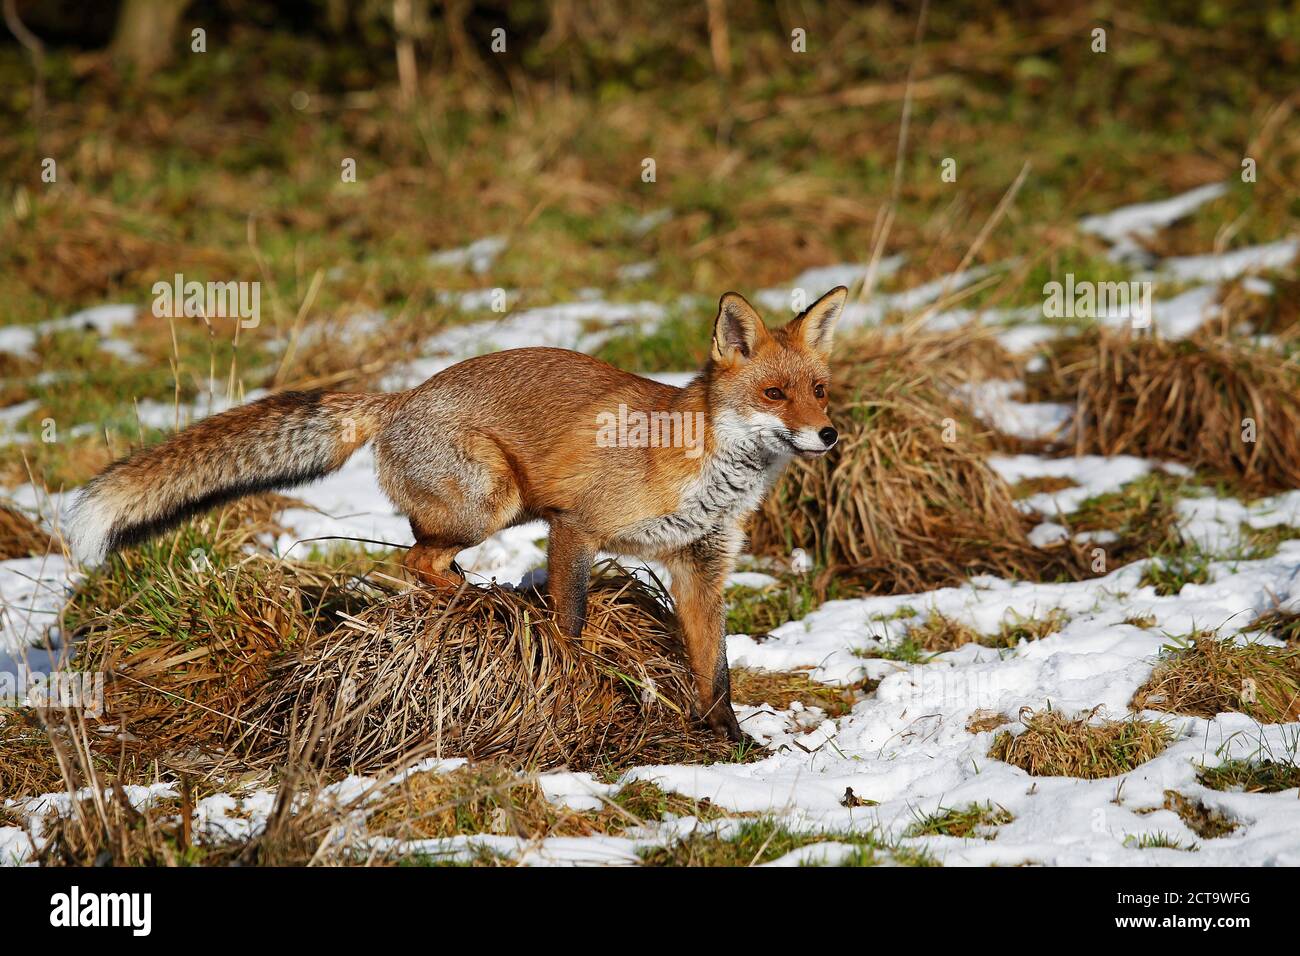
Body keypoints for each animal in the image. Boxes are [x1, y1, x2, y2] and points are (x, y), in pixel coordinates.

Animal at [68, 286, 847, 740]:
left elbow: (716, 672)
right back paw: (478, 600)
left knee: (418, 554)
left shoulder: (700, 566)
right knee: (415, 560)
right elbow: (571, 623)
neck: (706, 471)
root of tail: (400, 397)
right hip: (493, 505)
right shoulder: (576, 525)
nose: (829, 436)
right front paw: (573, 683)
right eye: (774, 394)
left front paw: (729, 742)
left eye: (819, 390)